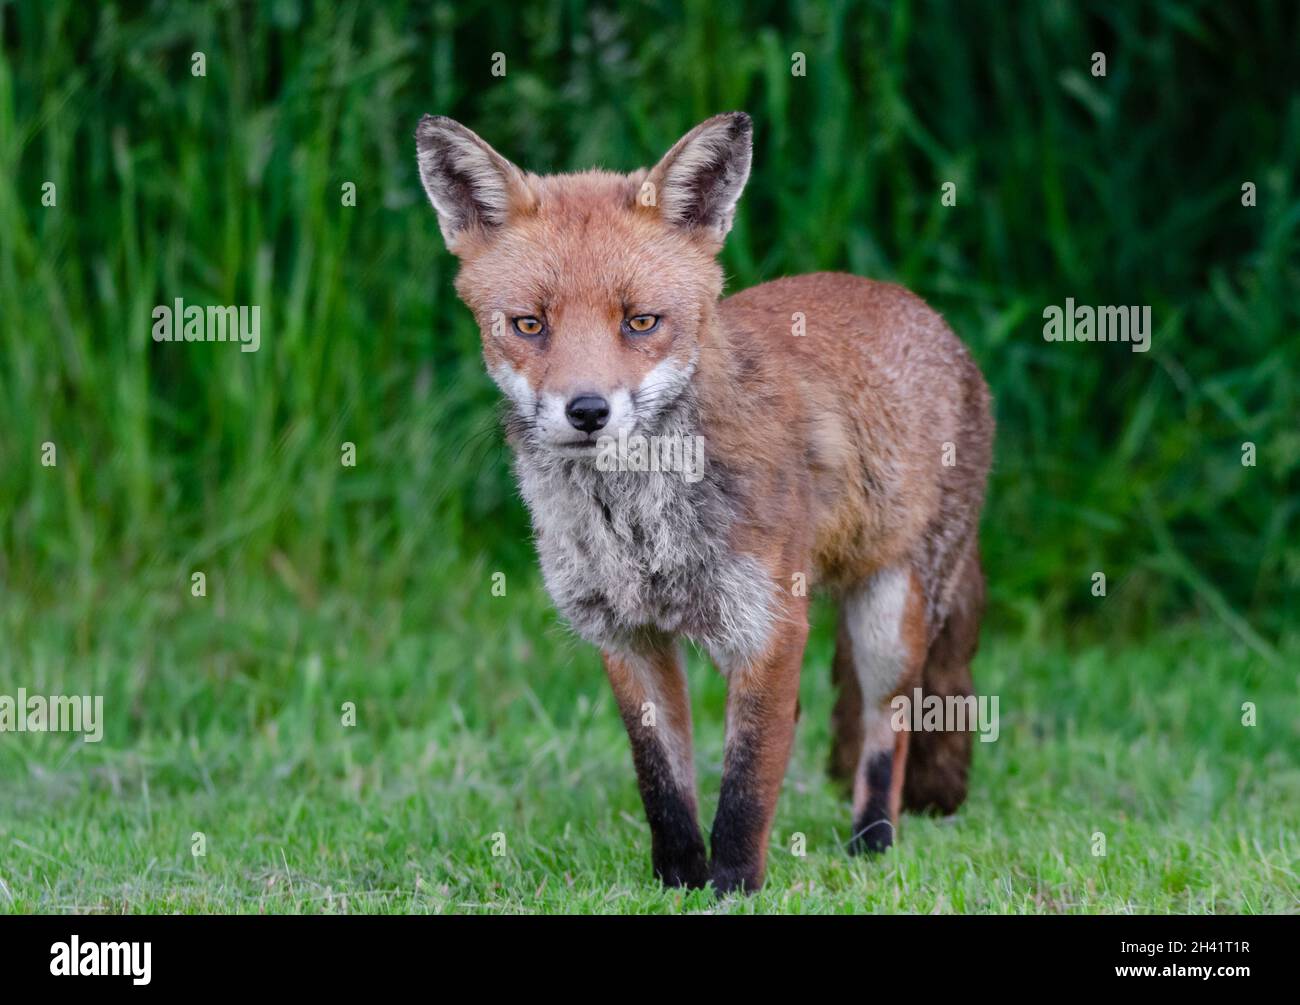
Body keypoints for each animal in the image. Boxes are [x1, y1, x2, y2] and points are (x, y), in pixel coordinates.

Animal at [415, 111, 993, 894]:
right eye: (530, 325)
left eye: (641, 322)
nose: (587, 411)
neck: (636, 526)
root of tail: (928, 314)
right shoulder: (626, 635)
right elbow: (663, 778)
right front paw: (677, 878)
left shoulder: (768, 626)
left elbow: (747, 781)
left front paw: (735, 885)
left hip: (888, 619)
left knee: (886, 728)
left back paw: (873, 840)